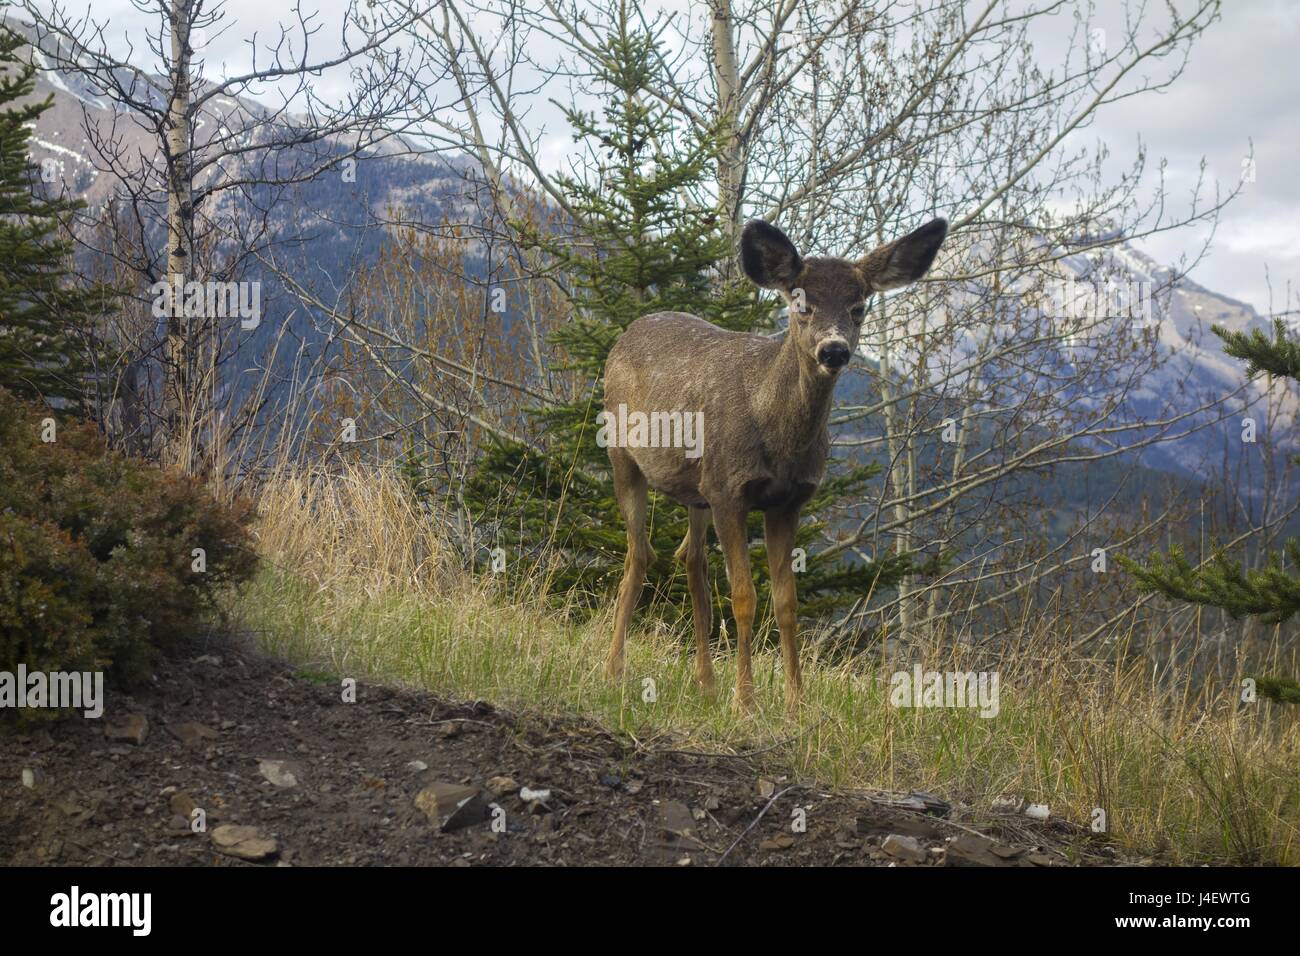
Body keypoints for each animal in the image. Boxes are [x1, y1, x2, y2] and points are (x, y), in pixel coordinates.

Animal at [601, 216, 948, 712]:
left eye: (860, 306)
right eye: (802, 304)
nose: (834, 350)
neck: (777, 435)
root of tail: (628, 331)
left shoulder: (788, 500)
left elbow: (787, 602)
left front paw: (796, 700)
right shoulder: (730, 491)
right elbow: (744, 597)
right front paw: (745, 700)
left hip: (696, 488)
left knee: (690, 559)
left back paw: (705, 682)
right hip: (624, 457)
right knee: (640, 553)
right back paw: (614, 669)